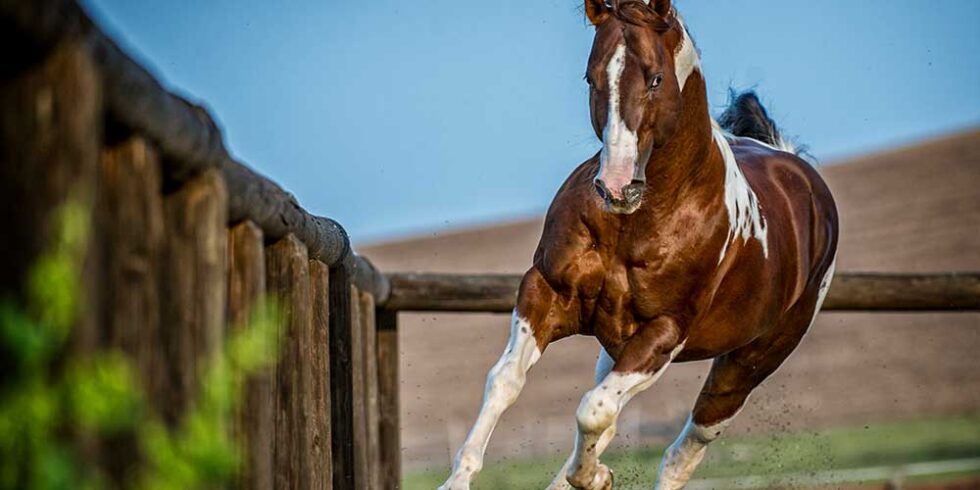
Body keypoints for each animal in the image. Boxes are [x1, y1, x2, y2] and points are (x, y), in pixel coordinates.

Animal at [440, 1, 838, 488]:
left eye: (655, 78)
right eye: (591, 77)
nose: (616, 187)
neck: (640, 222)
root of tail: (794, 165)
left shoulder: (663, 334)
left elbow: (594, 409)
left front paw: (595, 478)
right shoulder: (547, 290)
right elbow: (506, 381)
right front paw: (459, 480)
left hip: (746, 366)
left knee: (682, 452)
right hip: (615, 347)